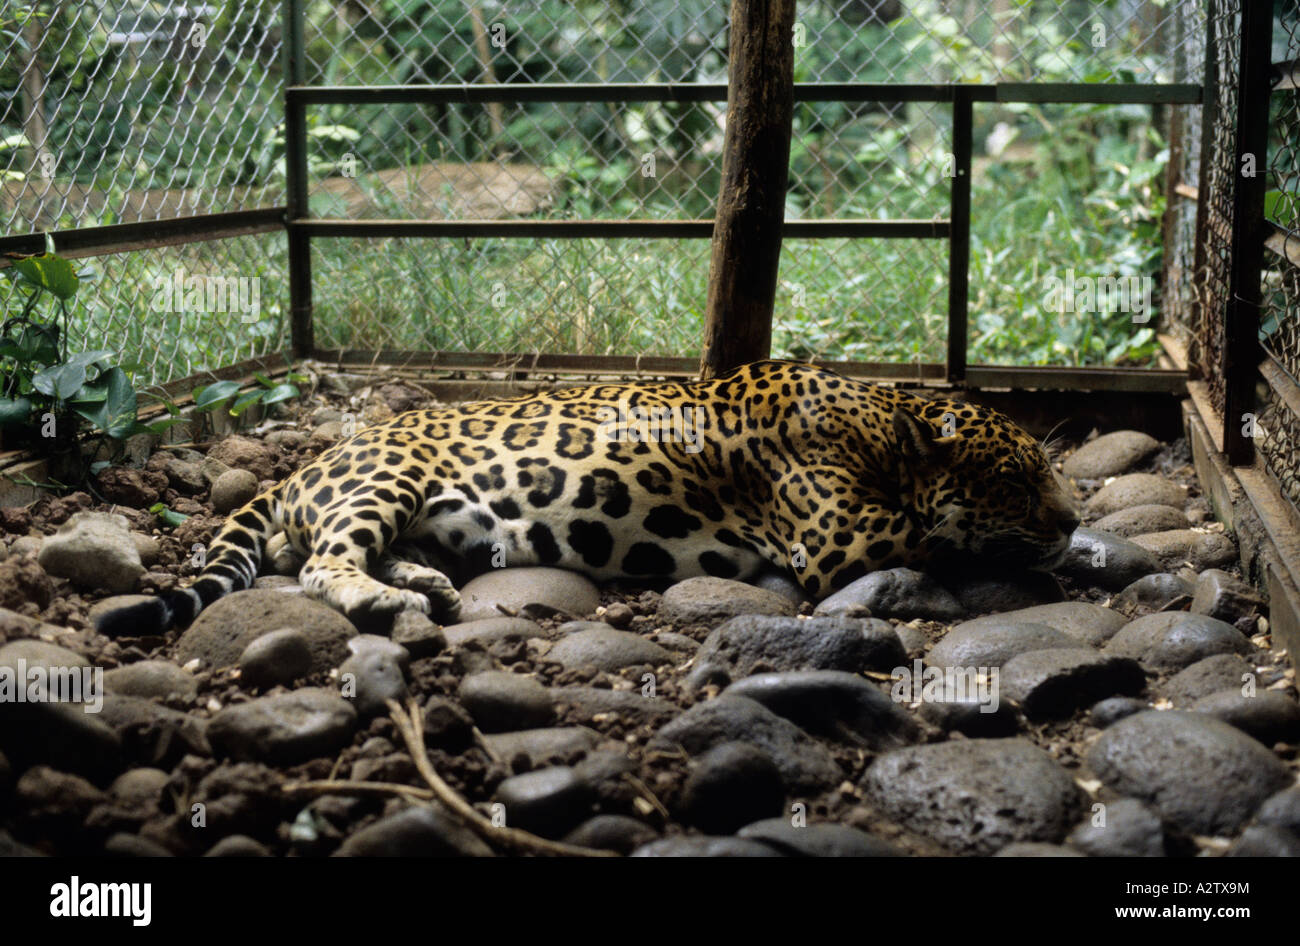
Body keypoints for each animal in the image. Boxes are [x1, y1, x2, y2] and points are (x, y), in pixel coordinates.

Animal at [95, 360, 1079, 636]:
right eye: (1018, 476)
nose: (1072, 521)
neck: (882, 422)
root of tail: (301, 467)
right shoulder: (845, 535)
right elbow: (943, 534)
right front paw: (1048, 563)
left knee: (328, 551)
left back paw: (426, 583)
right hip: (384, 476)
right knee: (320, 561)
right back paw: (385, 599)